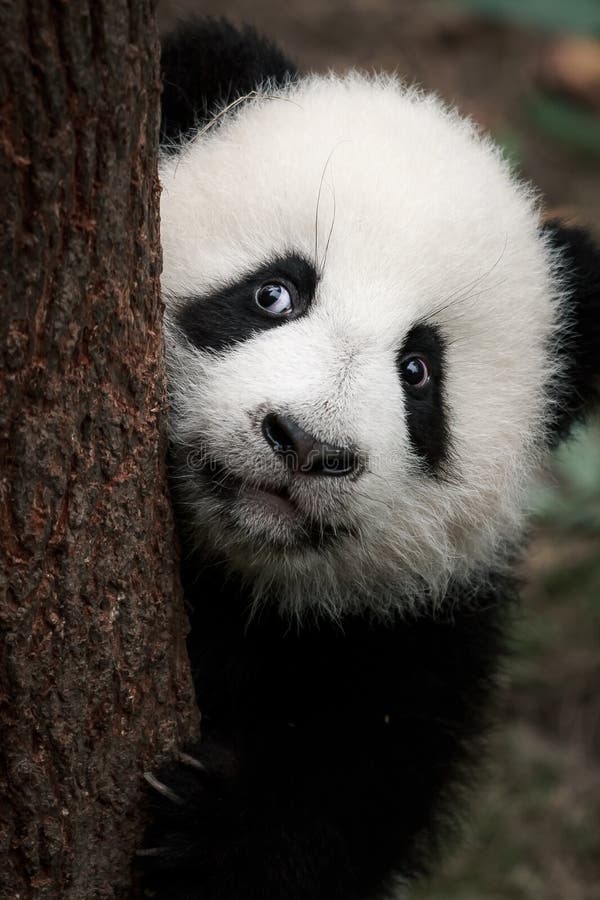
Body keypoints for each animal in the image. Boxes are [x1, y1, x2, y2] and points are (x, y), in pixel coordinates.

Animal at [141, 17, 600, 900]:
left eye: (418, 372)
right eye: (273, 293)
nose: (306, 444)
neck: (230, 576)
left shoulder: (413, 631)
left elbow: (360, 787)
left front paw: (210, 836)